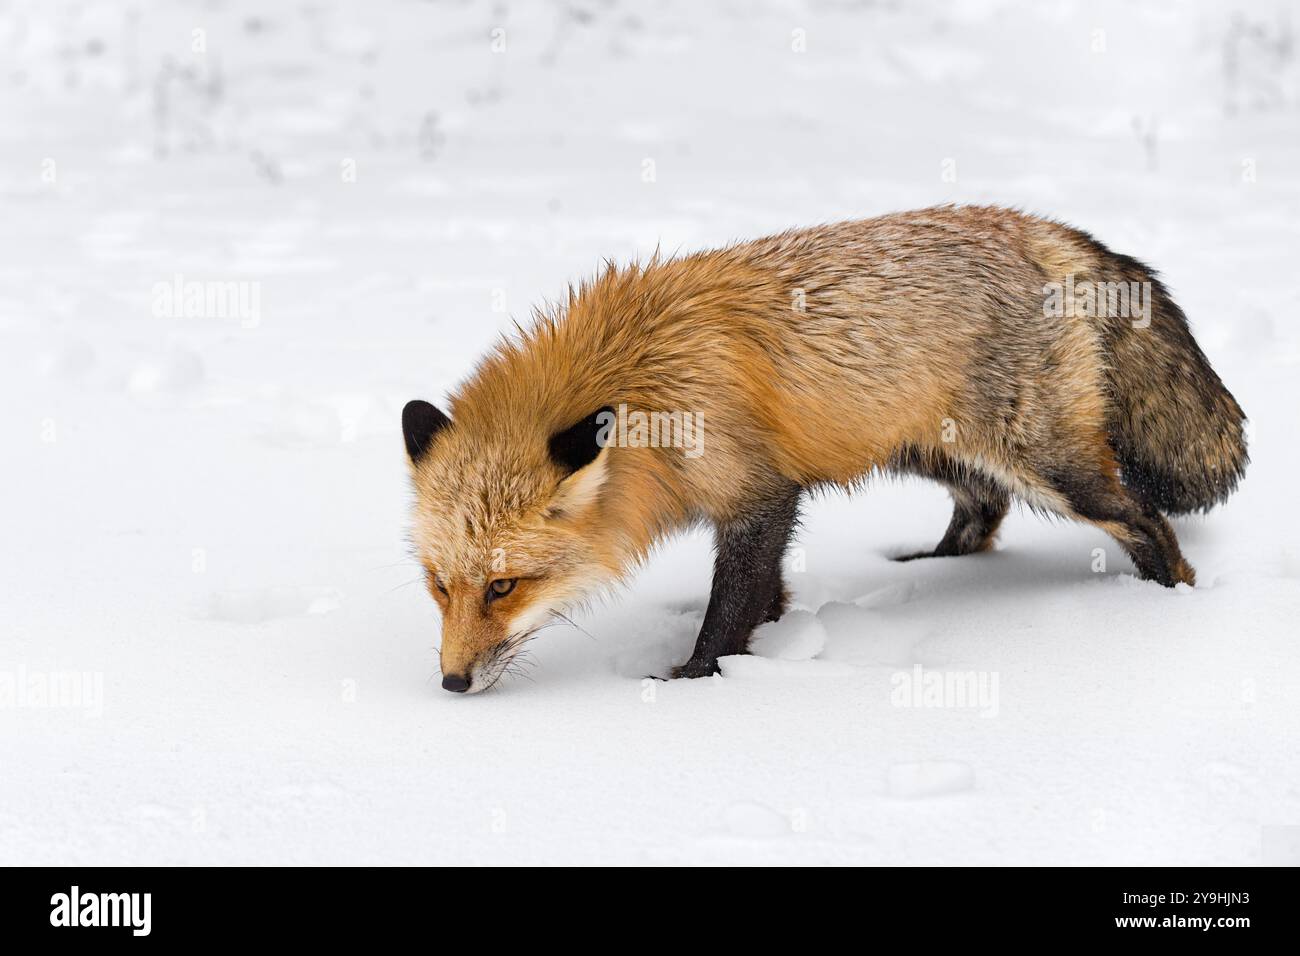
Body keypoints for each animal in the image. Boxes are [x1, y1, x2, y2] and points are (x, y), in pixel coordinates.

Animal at [403, 205, 1247, 694]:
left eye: (504, 587)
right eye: (440, 587)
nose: (452, 683)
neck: (646, 381)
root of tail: (1047, 226)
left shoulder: (759, 493)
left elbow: (731, 605)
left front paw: (695, 679)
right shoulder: (762, 494)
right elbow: (765, 593)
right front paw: (771, 638)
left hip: (1044, 462)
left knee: (1145, 522)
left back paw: (1163, 607)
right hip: (929, 445)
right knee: (983, 509)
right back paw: (927, 568)